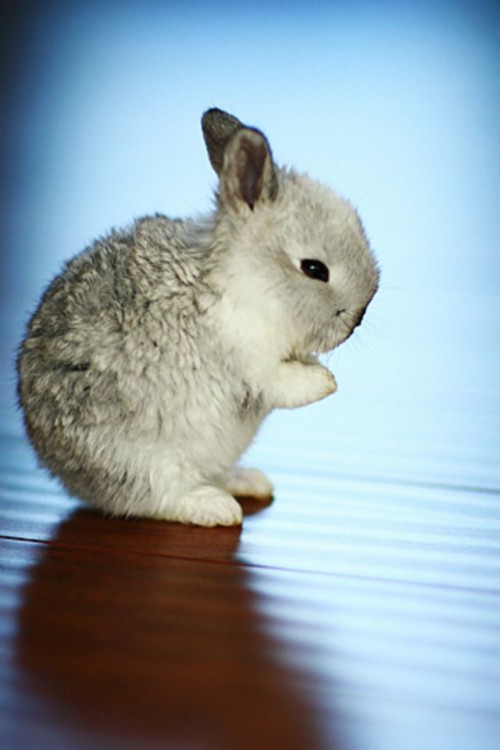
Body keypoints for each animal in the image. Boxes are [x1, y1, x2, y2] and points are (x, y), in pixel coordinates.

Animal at [17, 107, 379, 527]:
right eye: (314, 268)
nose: (358, 317)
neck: (249, 282)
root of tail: (60, 469)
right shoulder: (252, 365)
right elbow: (286, 384)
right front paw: (325, 381)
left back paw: (248, 481)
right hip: (145, 464)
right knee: (160, 499)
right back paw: (217, 507)